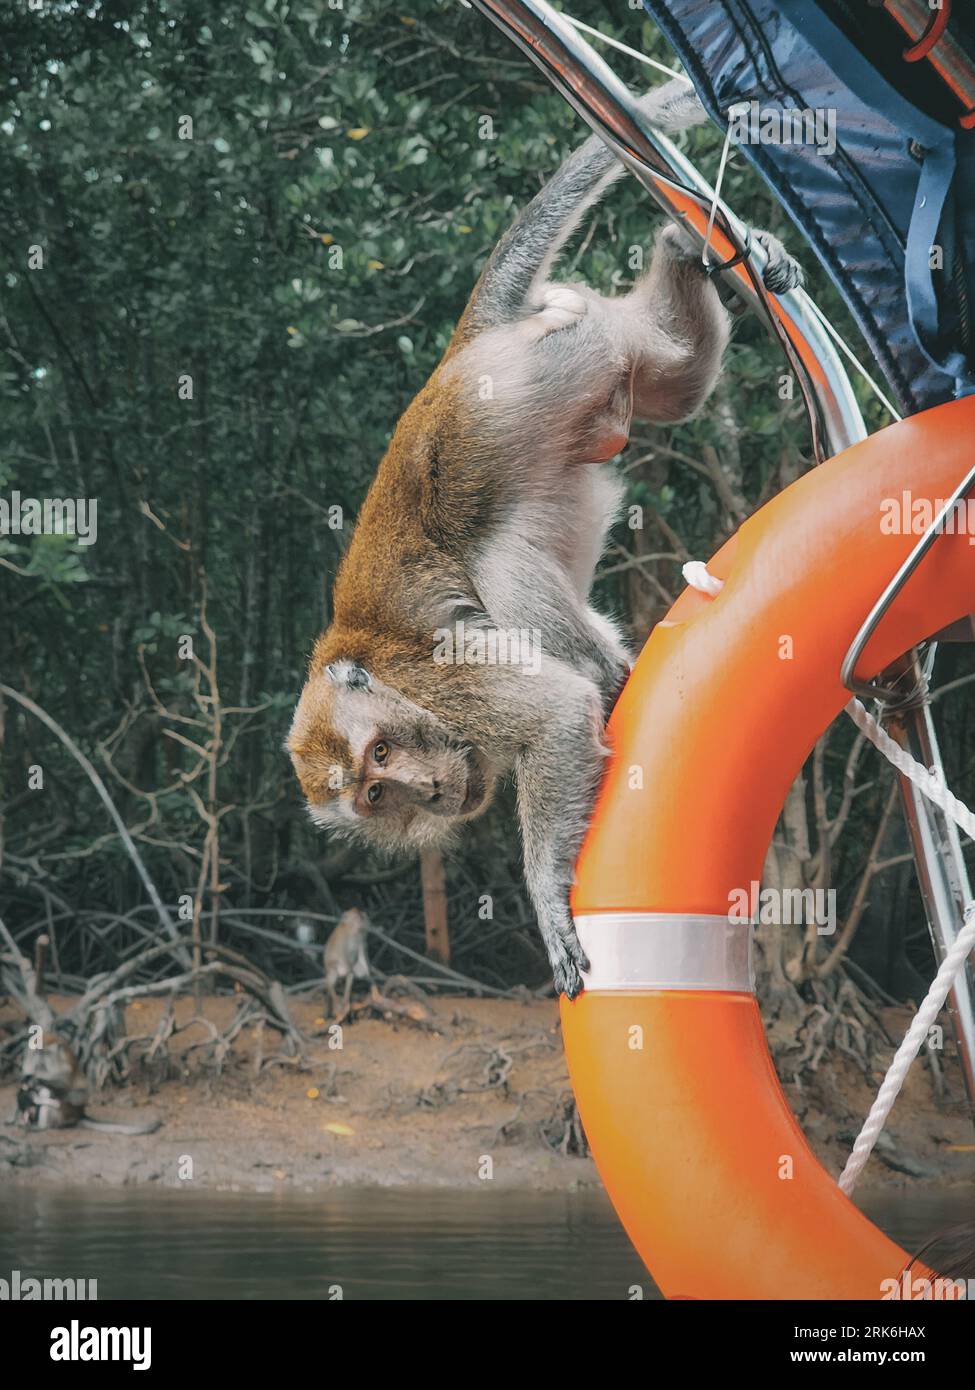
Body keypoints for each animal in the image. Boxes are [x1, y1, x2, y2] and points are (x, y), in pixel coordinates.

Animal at [14, 1033, 161, 1135]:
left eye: (45, 1052)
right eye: (37, 1051)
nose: (39, 1060)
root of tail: (79, 1114)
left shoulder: (63, 1068)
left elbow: (76, 1091)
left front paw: (36, 1081)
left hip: (65, 1113)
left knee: (50, 1097)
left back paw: (41, 1126)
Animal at [288, 79, 802, 998]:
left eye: (383, 750)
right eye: (375, 795)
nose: (421, 788)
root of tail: (459, 353)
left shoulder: (442, 677)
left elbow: (558, 715)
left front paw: (545, 893)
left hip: (534, 379)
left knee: (500, 568)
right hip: (580, 367)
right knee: (670, 385)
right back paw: (679, 247)